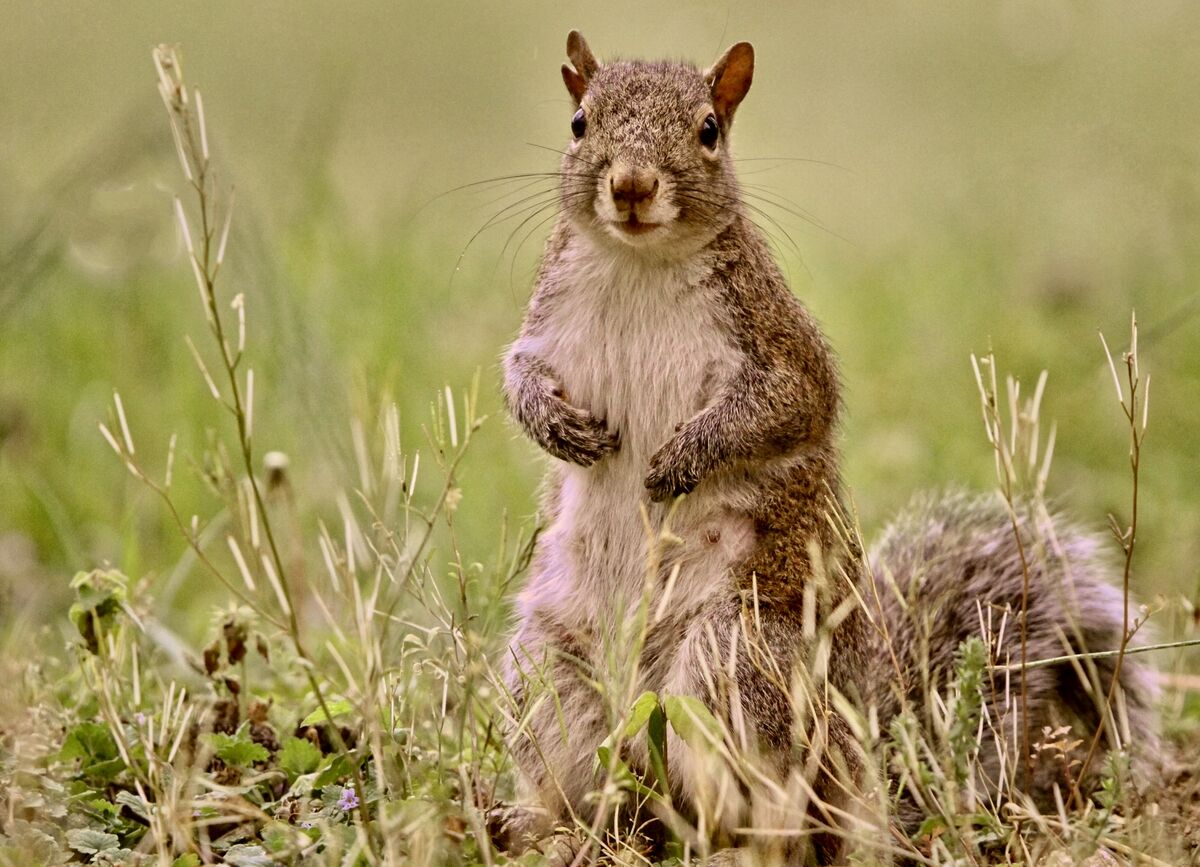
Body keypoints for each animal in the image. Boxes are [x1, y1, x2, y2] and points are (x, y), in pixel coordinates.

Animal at [494, 32, 1156, 865]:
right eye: (580, 122)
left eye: (709, 130)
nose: (634, 186)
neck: (638, 264)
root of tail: (860, 767)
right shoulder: (547, 326)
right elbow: (517, 373)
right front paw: (554, 424)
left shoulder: (781, 347)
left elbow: (786, 409)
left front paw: (684, 457)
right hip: (550, 670)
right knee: (600, 794)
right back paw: (543, 827)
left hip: (735, 656)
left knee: (769, 811)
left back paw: (731, 843)